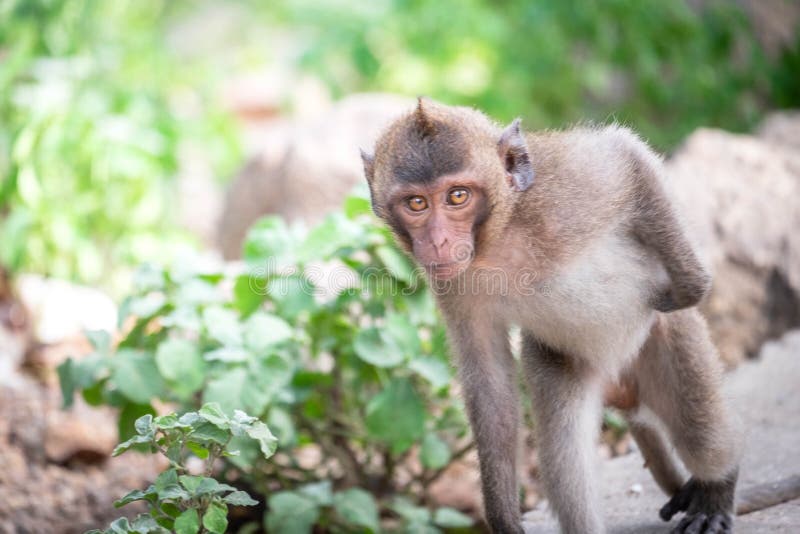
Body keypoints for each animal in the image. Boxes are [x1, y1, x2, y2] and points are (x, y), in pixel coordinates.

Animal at [361, 98, 741, 534]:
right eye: (417, 204)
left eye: (457, 196)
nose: (438, 241)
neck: (499, 239)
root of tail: (622, 387)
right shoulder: (454, 286)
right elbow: (491, 388)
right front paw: (505, 519)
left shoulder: (565, 191)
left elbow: (626, 157)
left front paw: (689, 285)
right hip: (562, 364)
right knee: (563, 453)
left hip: (665, 340)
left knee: (698, 427)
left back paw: (716, 492)